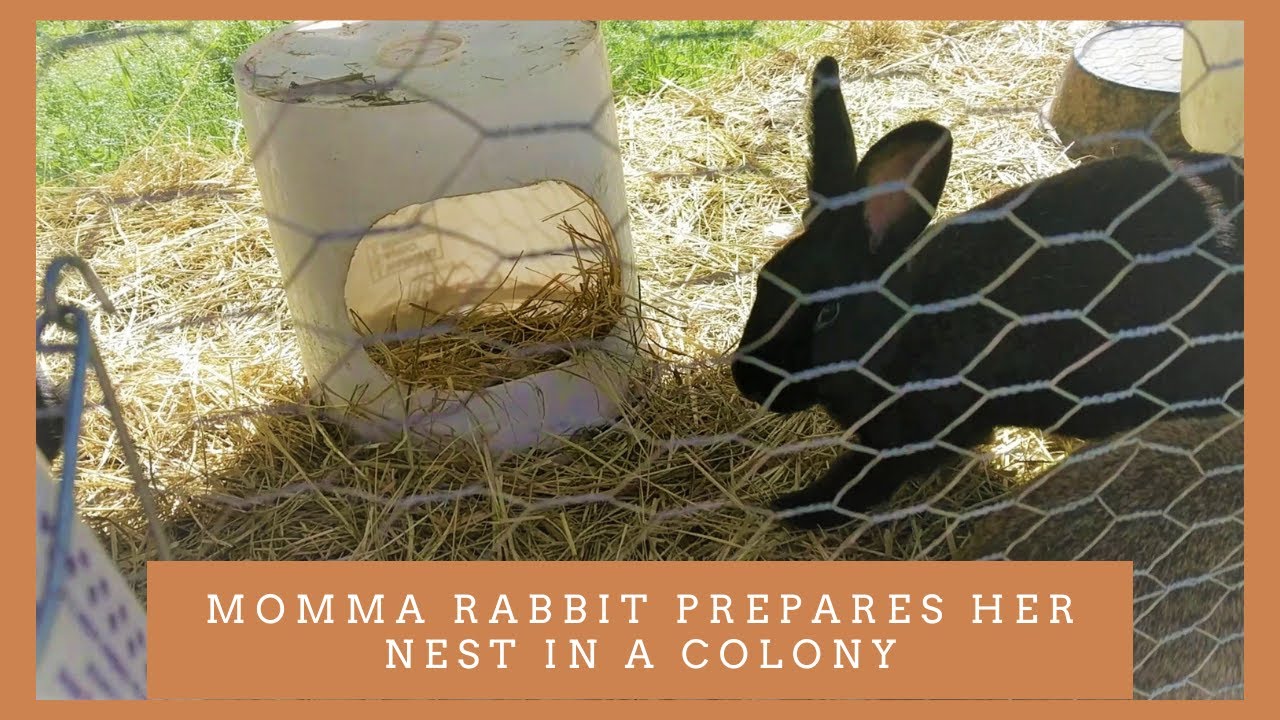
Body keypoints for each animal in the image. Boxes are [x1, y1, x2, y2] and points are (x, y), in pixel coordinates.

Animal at [730, 55, 1244, 530]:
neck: (909, 326)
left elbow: (863, 481)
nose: (748, 383)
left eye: (828, 313)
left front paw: (794, 509)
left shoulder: (918, 432)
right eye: (763, 280)